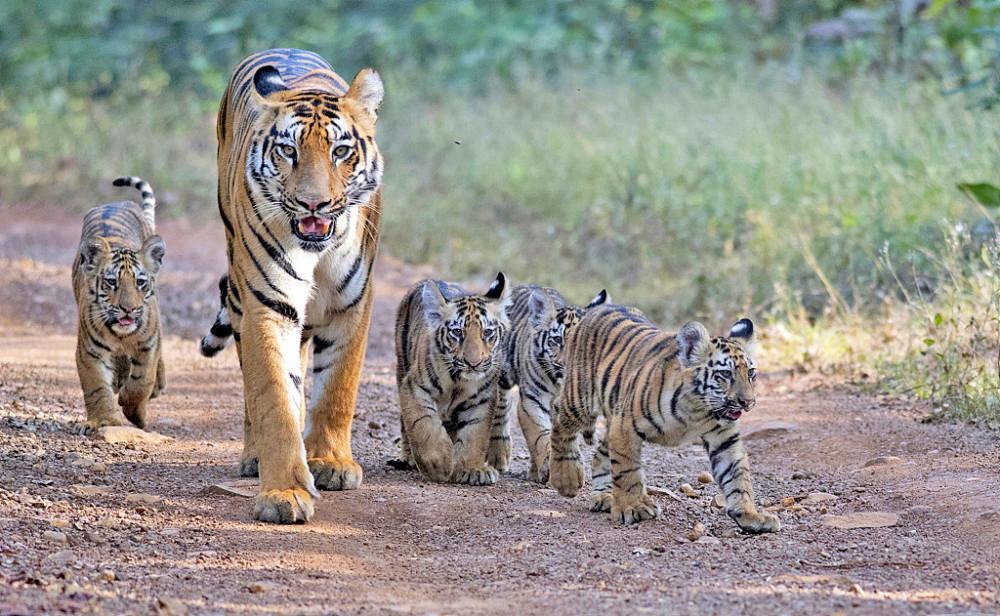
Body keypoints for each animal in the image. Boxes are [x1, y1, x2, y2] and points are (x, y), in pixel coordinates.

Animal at [73, 176, 166, 430]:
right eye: (111, 282)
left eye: (140, 282)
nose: (129, 309)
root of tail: (115, 202)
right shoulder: (90, 351)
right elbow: (96, 387)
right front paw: (105, 420)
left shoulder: (149, 344)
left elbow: (142, 381)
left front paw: (135, 413)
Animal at [197, 48, 385, 523]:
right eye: (288, 151)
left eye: (340, 151)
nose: (313, 204)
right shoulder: (267, 304)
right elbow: (273, 398)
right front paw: (284, 492)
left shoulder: (354, 303)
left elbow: (338, 387)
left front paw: (331, 463)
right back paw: (255, 456)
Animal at [391, 273, 511, 485]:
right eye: (457, 332)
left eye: (487, 332)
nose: (474, 363)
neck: (459, 381)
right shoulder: (414, 387)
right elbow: (424, 424)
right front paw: (440, 463)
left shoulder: (482, 400)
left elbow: (475, 434)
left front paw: (473, 469)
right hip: (401, 366)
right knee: (405, 424)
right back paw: (409, 458)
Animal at [490, 285, 608, 482]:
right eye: (557, 340)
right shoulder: (532, 400)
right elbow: (540, 436)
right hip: (503, 375)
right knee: (501, 409)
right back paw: (499, 457)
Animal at [548, 304, 780, 533]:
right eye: (725, 374)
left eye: (751, 373)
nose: (748, 402)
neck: (697, 410)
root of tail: (595, 309)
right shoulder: (625, 427)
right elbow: (627, 471)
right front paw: (632, 507)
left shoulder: (724, 438)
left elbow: (738, 477)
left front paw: (751, 515)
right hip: (580, 400)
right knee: (559, 417)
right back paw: (567, 479)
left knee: (599, 456)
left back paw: (603, 496)